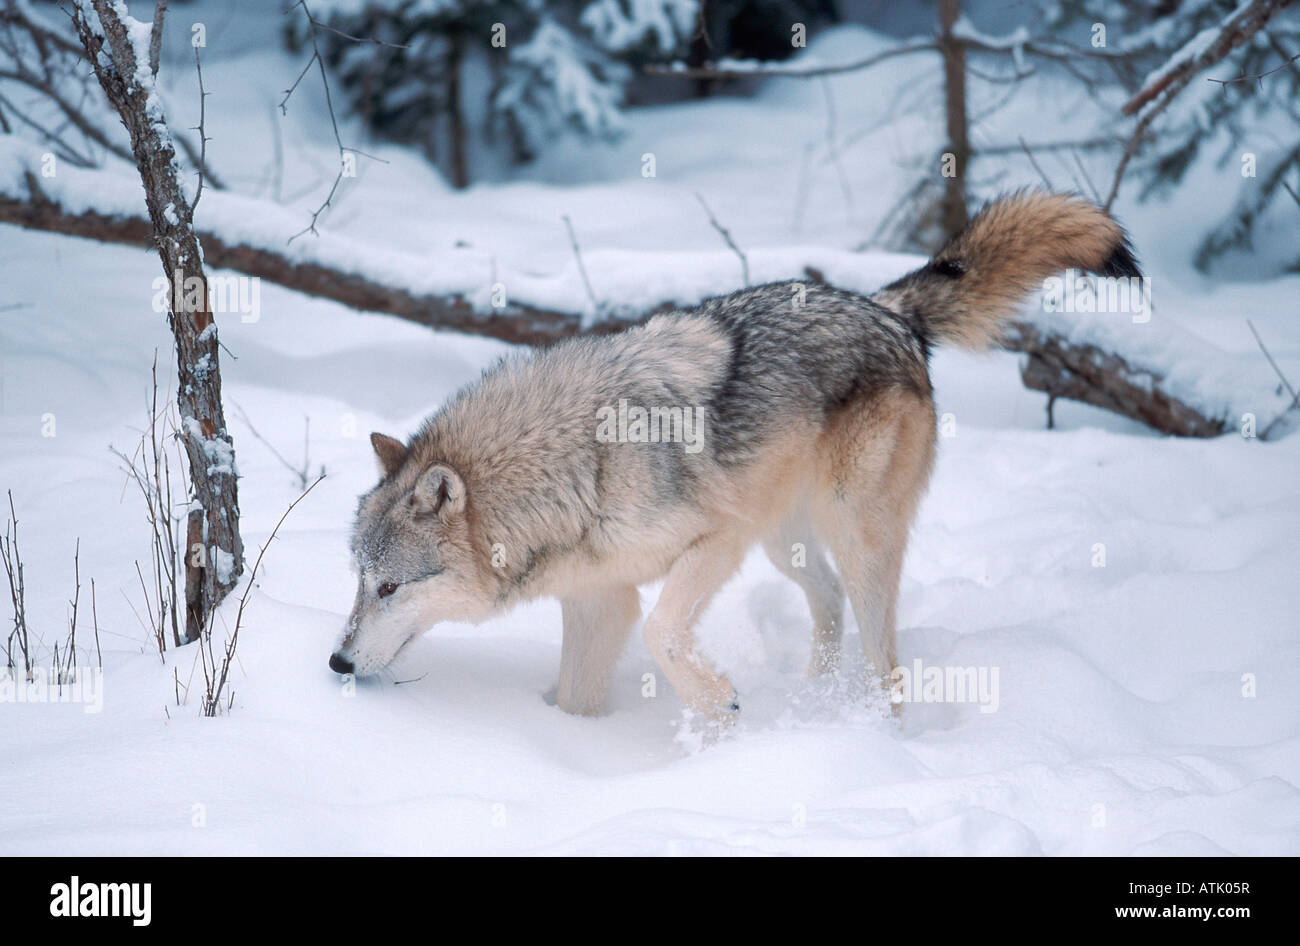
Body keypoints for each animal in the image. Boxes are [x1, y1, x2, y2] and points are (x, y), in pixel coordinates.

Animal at [330, 191, 1140, 722]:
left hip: (847, 533)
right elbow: (577, 699)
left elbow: (663, 633)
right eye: (360, 581)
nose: (336, 662)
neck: (576, 468)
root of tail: (888, 311)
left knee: (887, 664)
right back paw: (814, 704)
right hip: (787, 542)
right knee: (828, 606)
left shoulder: (715, 541)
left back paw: (873, 740)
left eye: (391, 588)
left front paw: (717, 708)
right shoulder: (600, 600)